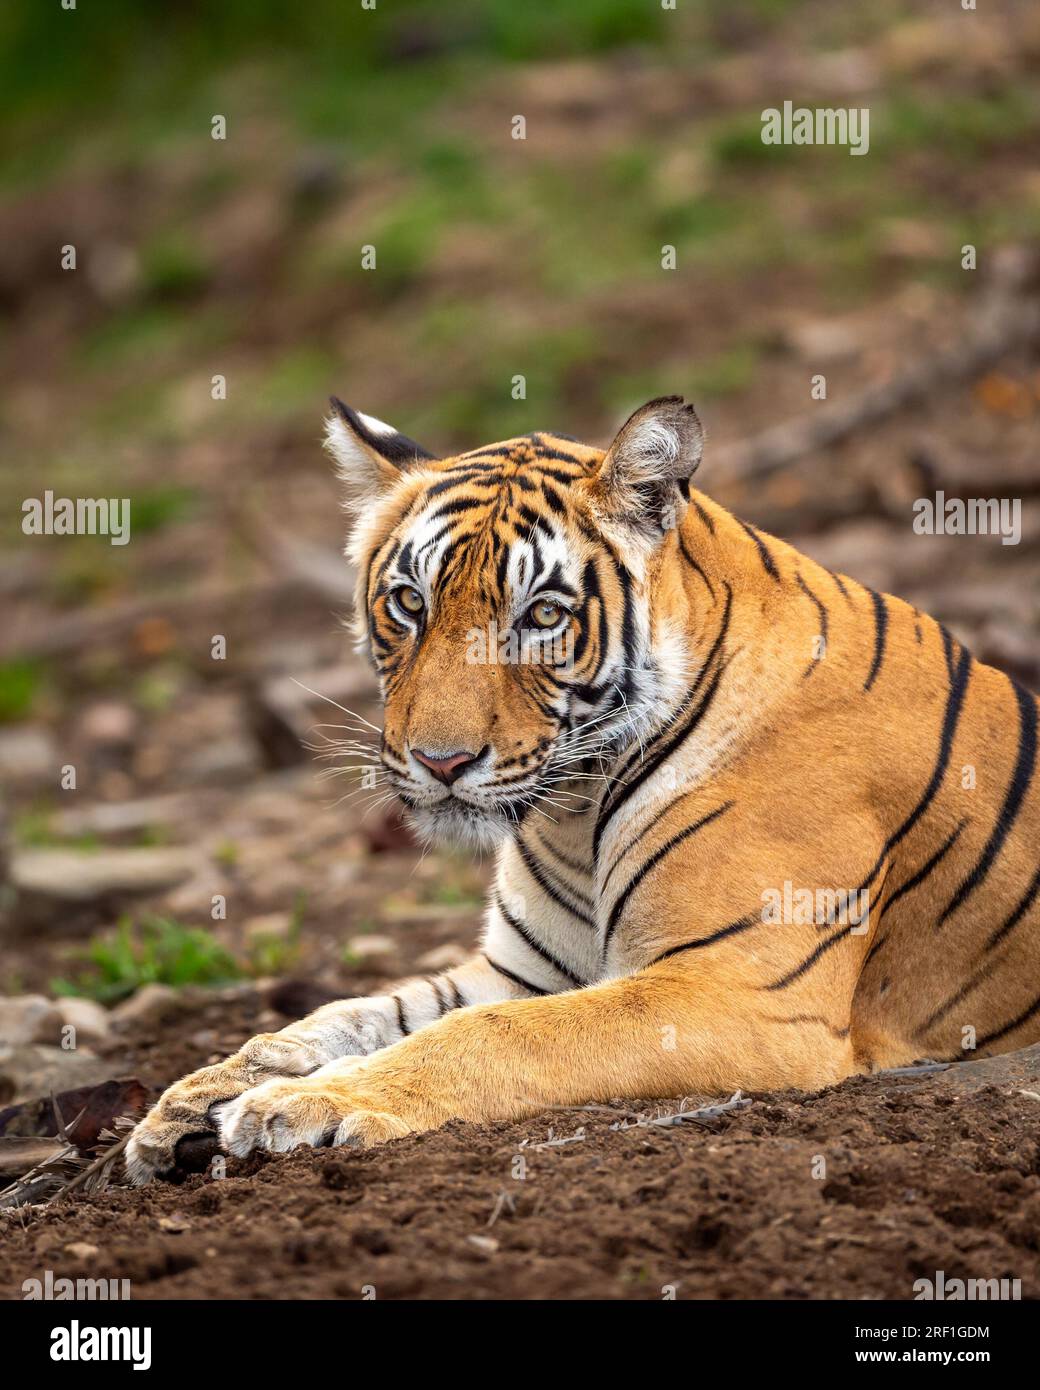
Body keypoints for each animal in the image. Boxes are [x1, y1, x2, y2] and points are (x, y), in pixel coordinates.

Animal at [125, 394, 1040, 1183]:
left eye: (542, 616)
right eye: (409, 603)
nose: (440, 761)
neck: (575, 808)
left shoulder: (737, 990)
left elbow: (486, 1036)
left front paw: (299, 1105)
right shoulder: (527, 967)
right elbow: (355, 1013)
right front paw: (192, 1099)